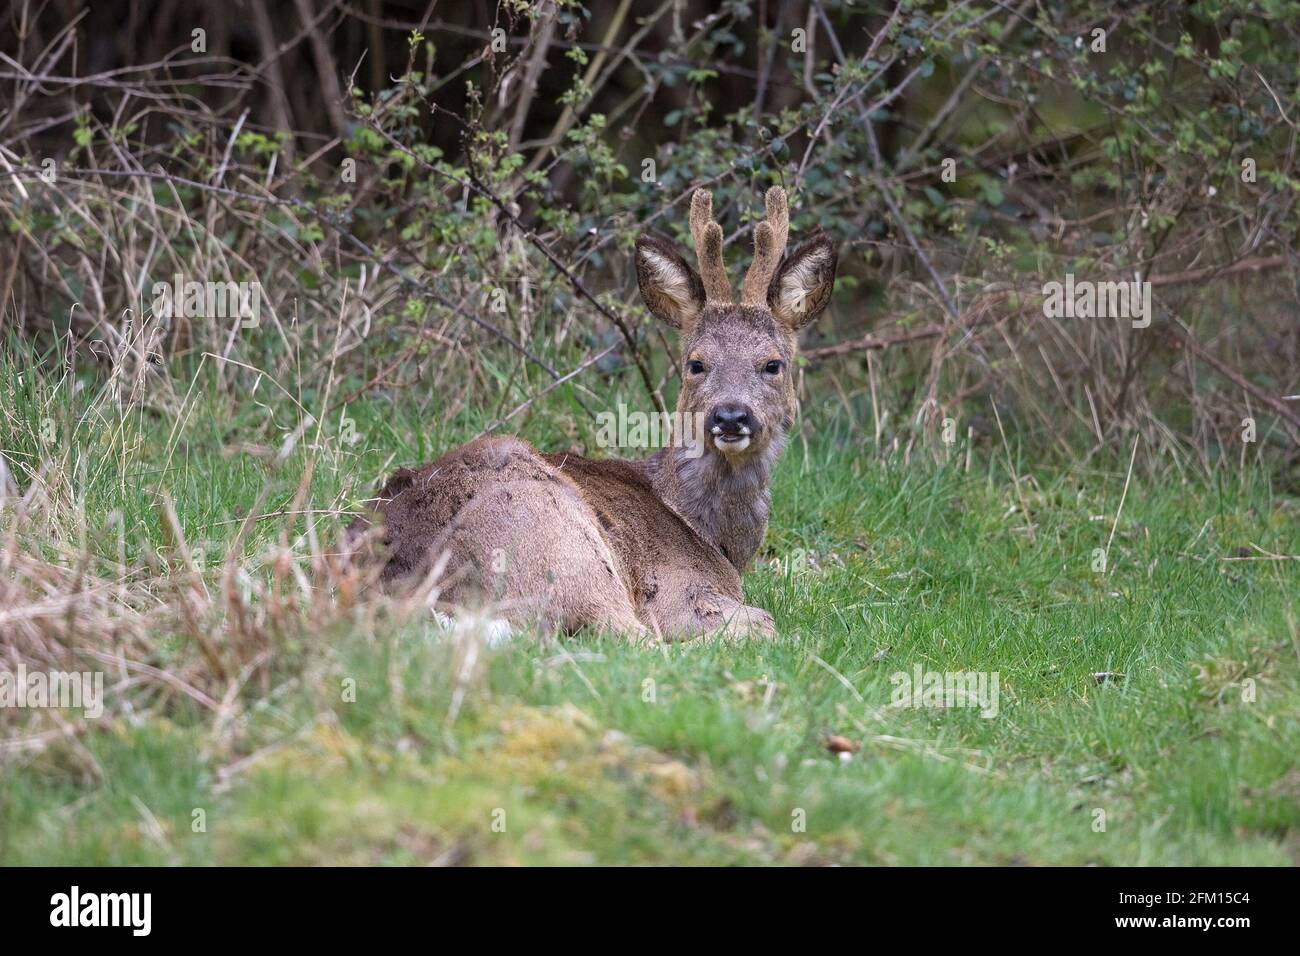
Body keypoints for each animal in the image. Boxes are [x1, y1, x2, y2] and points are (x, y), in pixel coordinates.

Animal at [352, 186, 837, 641]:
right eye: (696, 363)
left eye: (773, 364)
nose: (731, 416)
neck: (713, 537)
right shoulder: (682, 591)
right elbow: (762, 622)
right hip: (558, 540)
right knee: (625, 634)